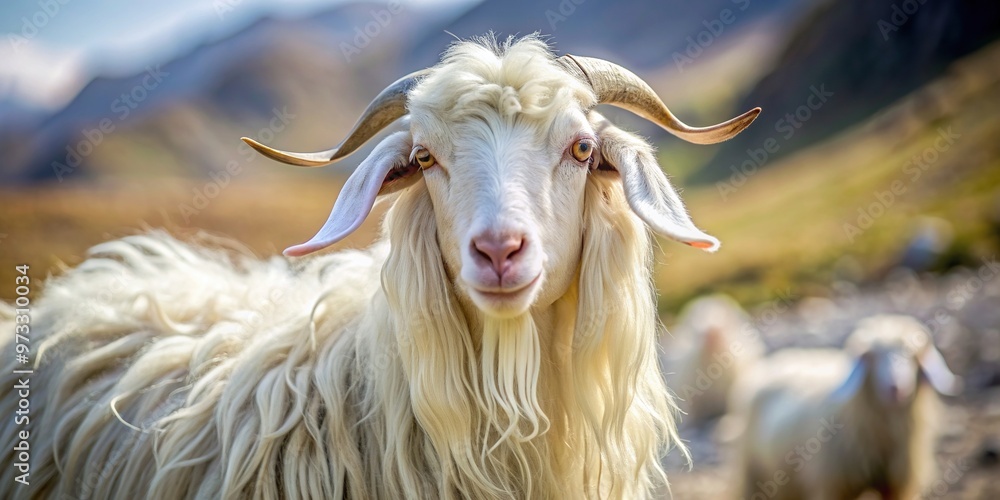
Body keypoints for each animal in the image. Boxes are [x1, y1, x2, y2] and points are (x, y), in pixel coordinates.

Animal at [732, 315, 961, 500]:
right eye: (871, 357)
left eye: (913, 355)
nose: (896, 389)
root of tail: (778, 358)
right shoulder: (832, 486)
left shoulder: (896, 487)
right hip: (759, 475)